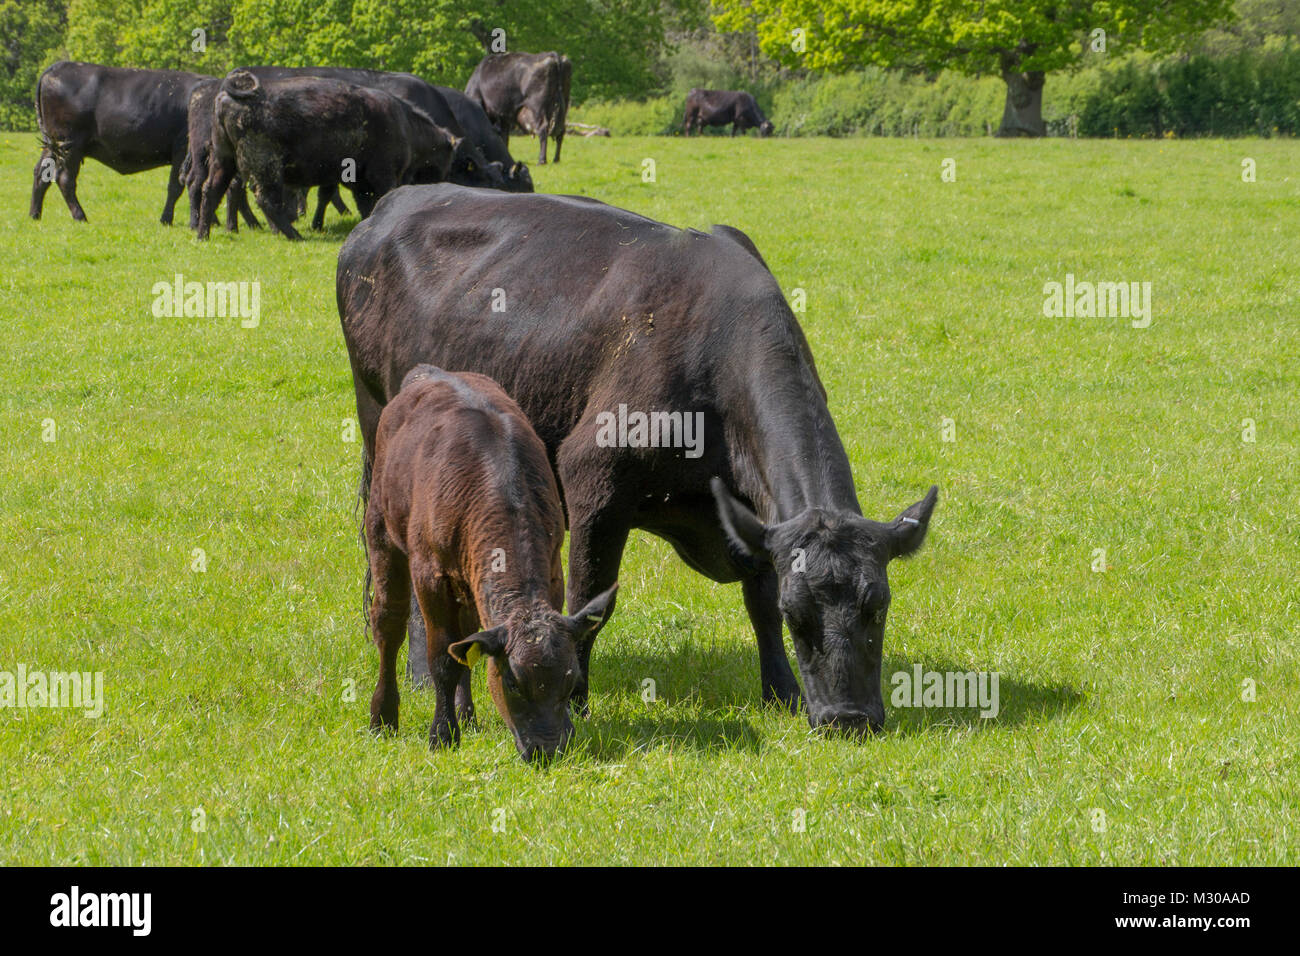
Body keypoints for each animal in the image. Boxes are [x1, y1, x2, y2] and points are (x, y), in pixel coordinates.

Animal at [30, 61, 207, 224]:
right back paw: (80, 216)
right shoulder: (182, 151)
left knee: (41, 173)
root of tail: (57, 67)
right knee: (64, 179)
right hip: (70, 146)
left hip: (53, 146)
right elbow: (176, 186)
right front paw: (167, 220)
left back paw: (34, 215)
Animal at [198, 71, 458, 241]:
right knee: (265, 200)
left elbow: (356, 201)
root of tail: (231, 94)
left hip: (224, 161)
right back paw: (294, 235)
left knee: (211, 190)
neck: (405, 123)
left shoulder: (354, 178)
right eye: (446, 159)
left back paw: (203, 234)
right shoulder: (383, 174)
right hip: (265, 167)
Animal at [366, 364, 618, 763]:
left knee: (467, 636)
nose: (548, 750)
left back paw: (467, 714)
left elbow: (463, 650)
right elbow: (442, 657)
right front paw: (442, 733)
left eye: (571, 679)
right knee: (388, 622)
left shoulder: (553, 571)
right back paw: (384, 717)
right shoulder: (430, 574)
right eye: (513, 683)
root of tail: (431, 373)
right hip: (381, 526)